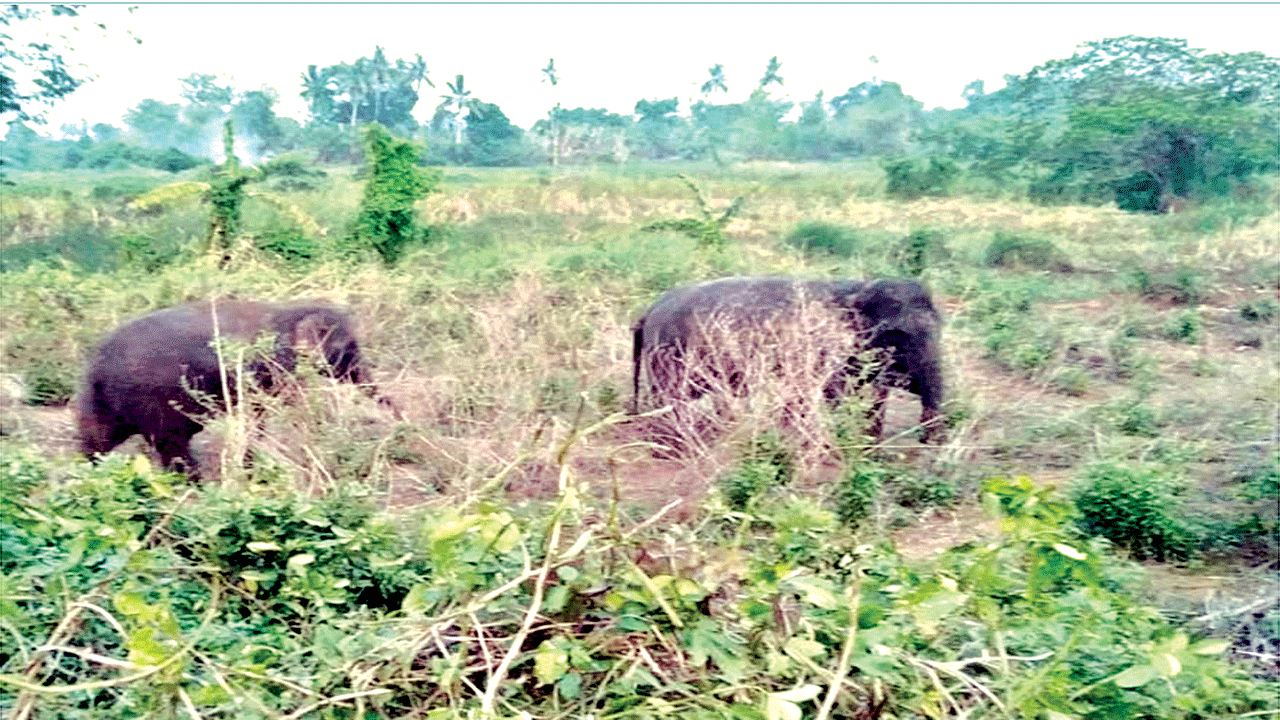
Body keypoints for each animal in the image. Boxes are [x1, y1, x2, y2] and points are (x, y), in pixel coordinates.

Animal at [77, 299, 388, 478]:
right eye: (349, 348)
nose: (393, 417)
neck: (290, 309)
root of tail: (96, 365)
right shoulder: (263, 368)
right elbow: (257, 414)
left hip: (99, 401)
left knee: (97, 439)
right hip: (150, 399)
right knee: (170, 442)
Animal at [631, 276, 945, 443]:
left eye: (941, 325)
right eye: (897, 335)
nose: (927, 440)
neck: (856, 286)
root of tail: (647, 310)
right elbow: (832, 394)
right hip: (669, 353)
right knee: (672, 399)